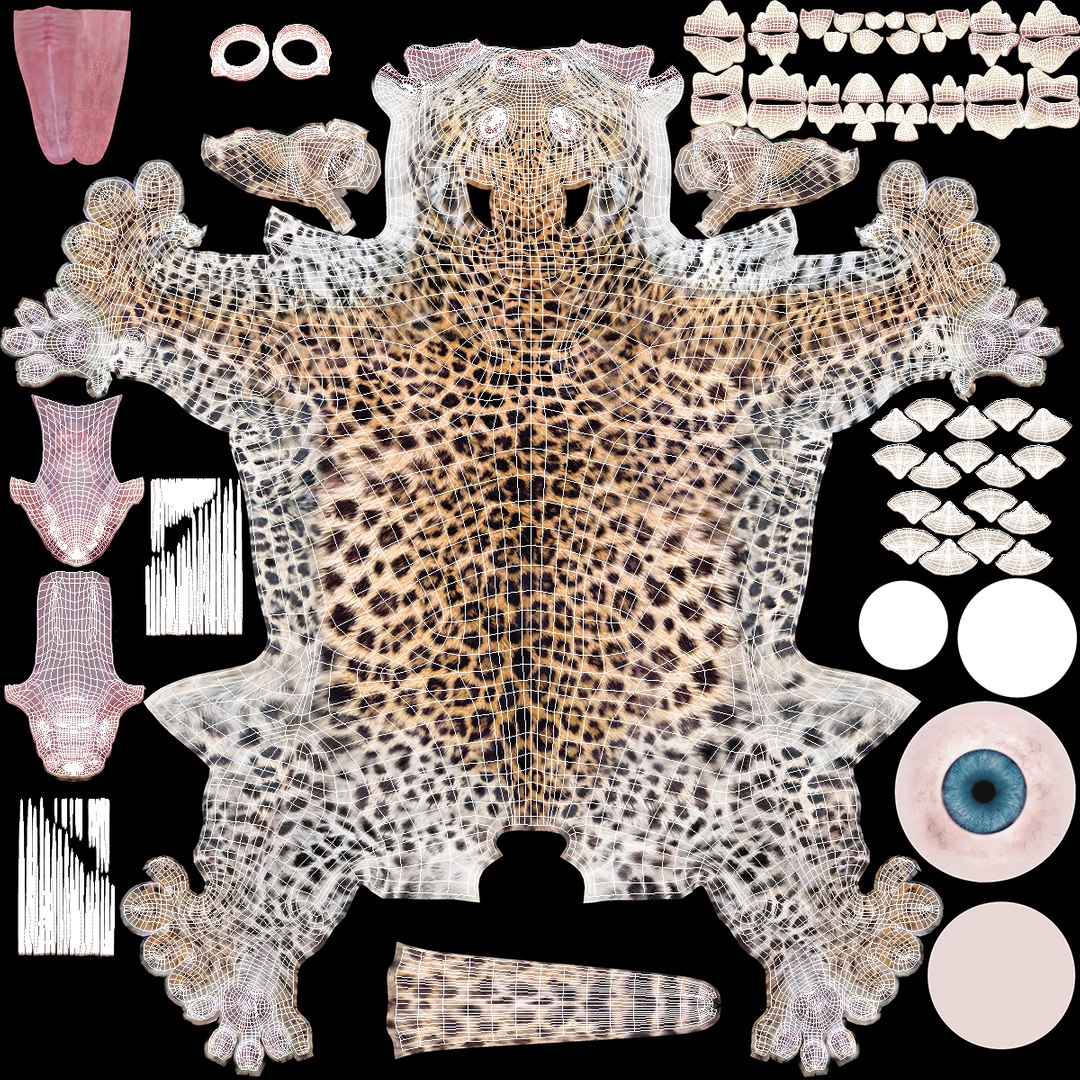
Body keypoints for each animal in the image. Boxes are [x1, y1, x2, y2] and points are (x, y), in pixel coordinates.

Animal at [3, 39, 1058, 1078]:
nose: (530, 56)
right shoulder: (279, 338)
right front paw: (99, 295)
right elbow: (164, 305)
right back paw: (235, 965)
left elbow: (894, 302)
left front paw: (958, 290)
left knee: (794, 902)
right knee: (269, 901)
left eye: (587, 73)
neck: (528, 289)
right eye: (471, 71)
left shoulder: (776, 337)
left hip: (762, 774)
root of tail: (534, 813)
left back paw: (828, 968)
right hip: (299, 775)